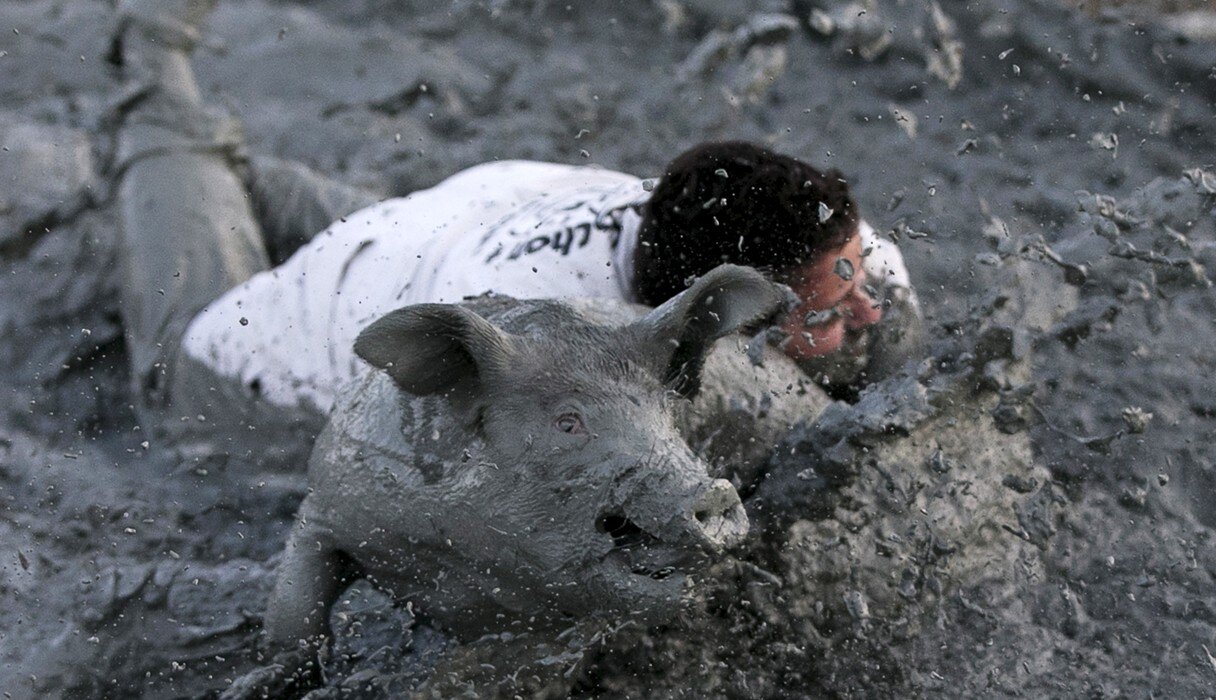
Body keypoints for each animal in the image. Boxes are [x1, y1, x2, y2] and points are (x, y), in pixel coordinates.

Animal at [263, 264, 826, 650]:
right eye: (568, 421)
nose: (712, 491)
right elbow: (293, 616)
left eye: (666, 411)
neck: (459, 551)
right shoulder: (329, 497)